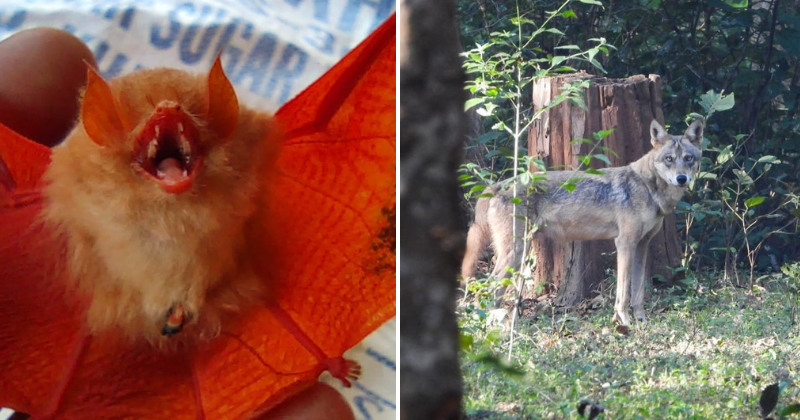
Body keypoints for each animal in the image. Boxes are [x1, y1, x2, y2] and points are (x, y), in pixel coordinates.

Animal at [461, 119, 704, 326]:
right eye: (669, 159)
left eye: (688, 159)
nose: (682, 179)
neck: (647, 187)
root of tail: (498, 185)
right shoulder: (624, 243)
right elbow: (623, 293)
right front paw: (624, 323)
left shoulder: (642, 245)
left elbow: (637, 293)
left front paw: (642, 322)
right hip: (516, 253)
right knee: (490, 285)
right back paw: (498, 326)